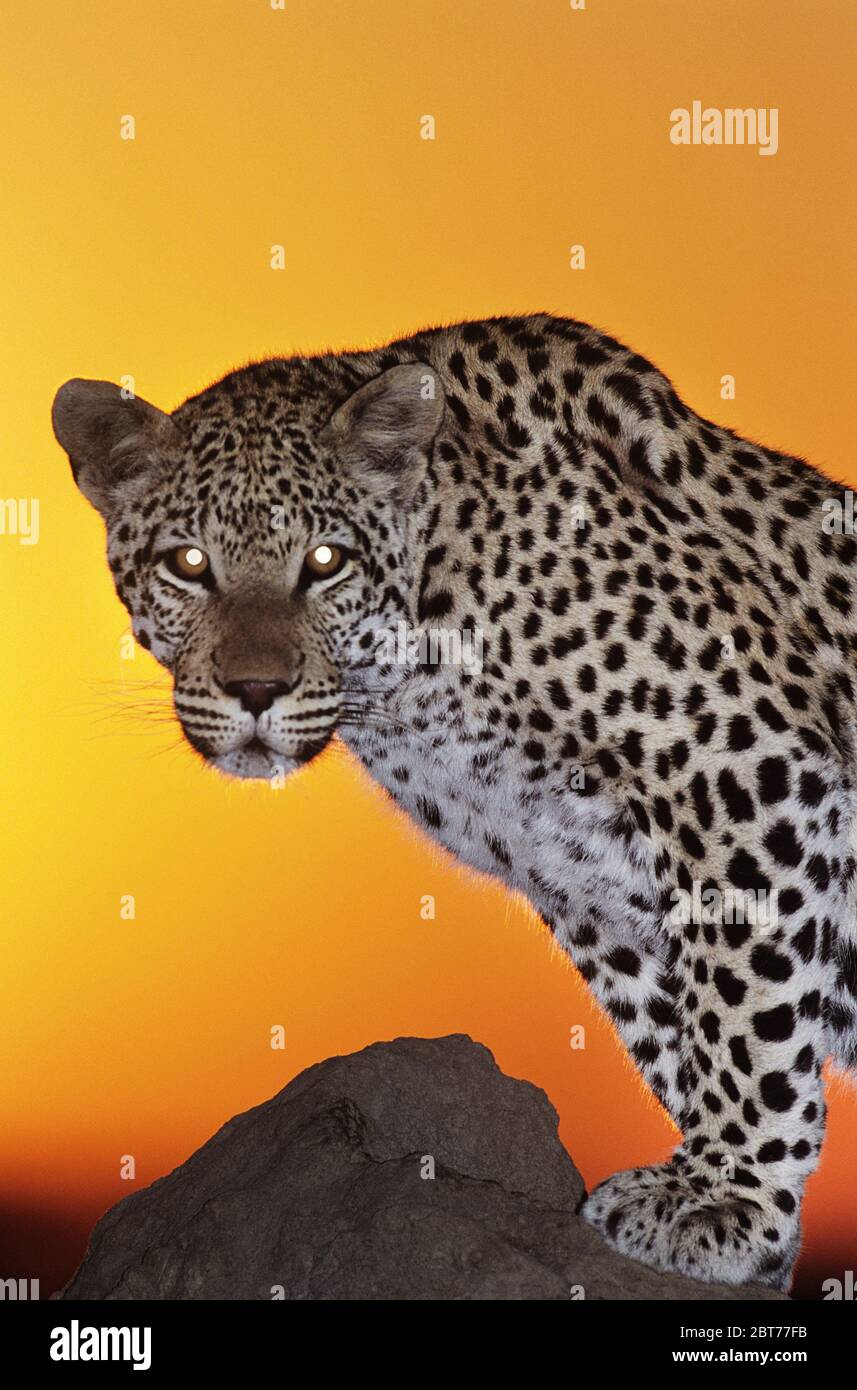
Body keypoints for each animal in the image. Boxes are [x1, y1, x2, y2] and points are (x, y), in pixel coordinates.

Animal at [52, 312, 857, 1291]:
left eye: (324, 562)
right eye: (188, 564)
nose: (255, 690)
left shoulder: (741, 769)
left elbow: (743, 1015)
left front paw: (723, 1201)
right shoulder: (578, 873)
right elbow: (671, 1026)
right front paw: (751, 1234)